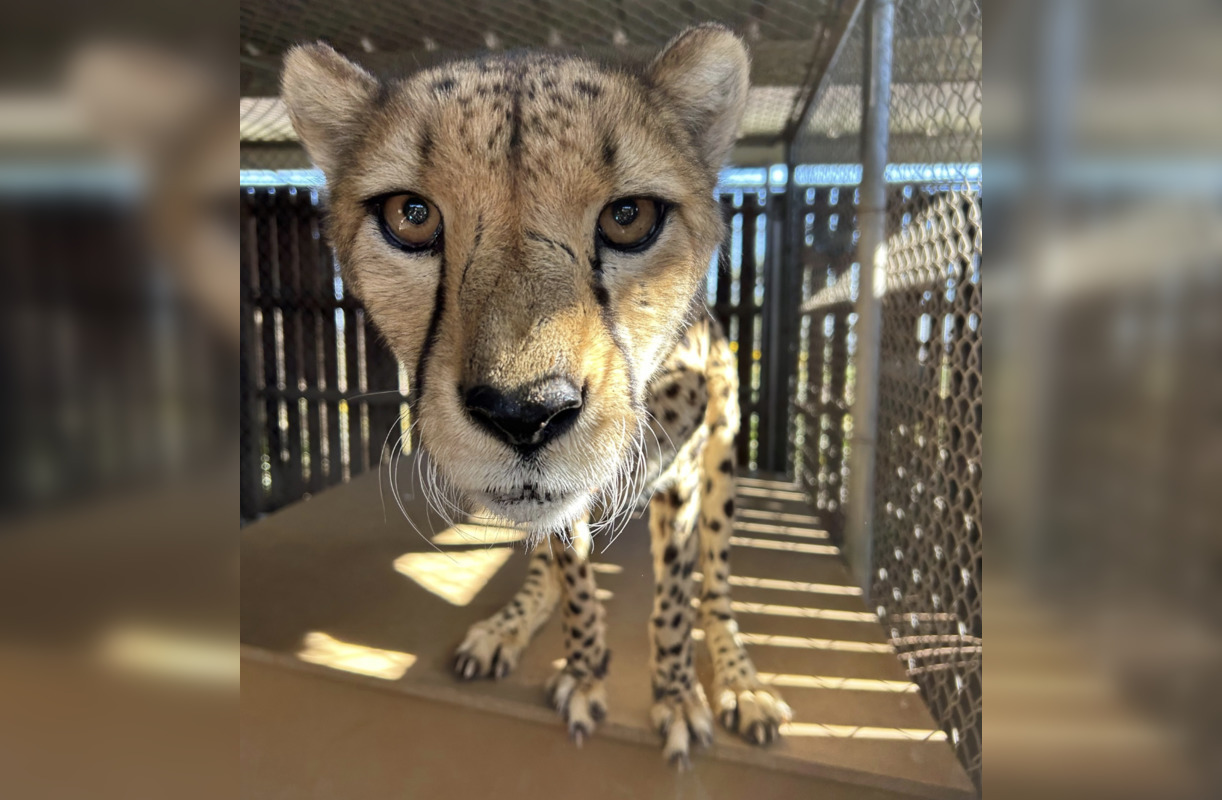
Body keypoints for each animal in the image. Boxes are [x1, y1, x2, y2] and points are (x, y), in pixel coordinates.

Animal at [281, 24, 792, 766]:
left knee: (716, 587)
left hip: (722, 457)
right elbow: (573, 581)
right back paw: (510, 624)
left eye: (630, 216)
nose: (525, 414)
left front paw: (674, 696)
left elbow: (674, 602)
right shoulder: (563, 507)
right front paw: (584, 670)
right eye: (411, 215)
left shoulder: (683, 477)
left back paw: (738, 677)